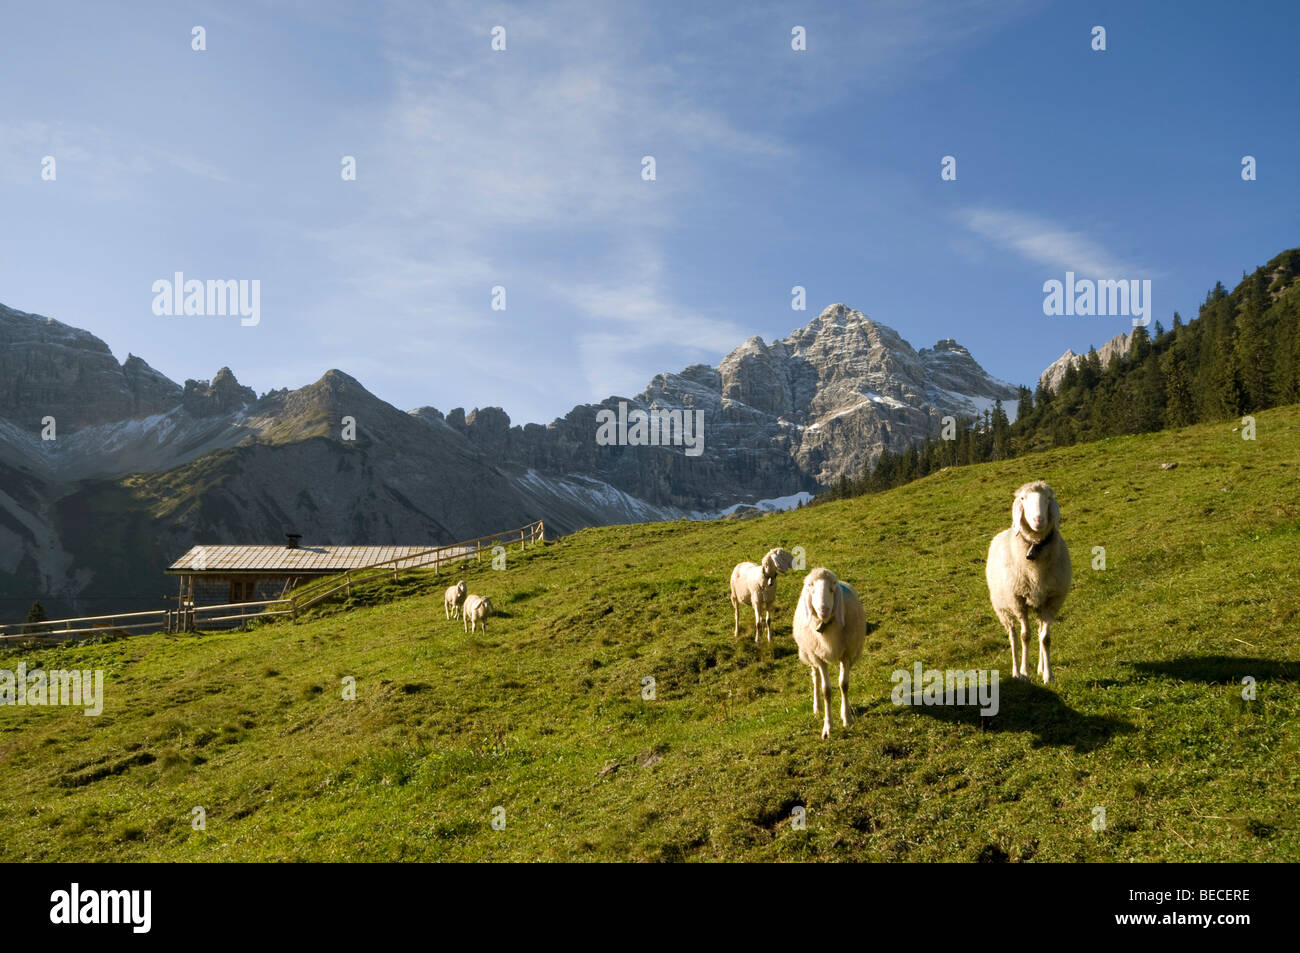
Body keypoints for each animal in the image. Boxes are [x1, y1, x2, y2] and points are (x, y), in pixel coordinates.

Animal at [791, 568, 868, 738]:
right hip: (810, 654)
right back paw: (817, 707)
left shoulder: (846, 654)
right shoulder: (818, 657)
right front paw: (828, 727)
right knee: (815, 678)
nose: (823, 610)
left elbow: (844, 684)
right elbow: (826, 691)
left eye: (832, 587)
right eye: (811, 587)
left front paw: (847, 718)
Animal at [985, 480, 1072, 683]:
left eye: (1048, 498)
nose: (1038, 520)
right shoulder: (1019, 601)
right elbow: (1025, 636)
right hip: (1004, 608)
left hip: (1038, 604)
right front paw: (1025, 673)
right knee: (1013, 637)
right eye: (1023, 498)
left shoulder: (1051, 601)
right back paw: (1016, 671)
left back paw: (1040, 668)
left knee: (1040, 632)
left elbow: (1045, 638)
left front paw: (1048, 675)